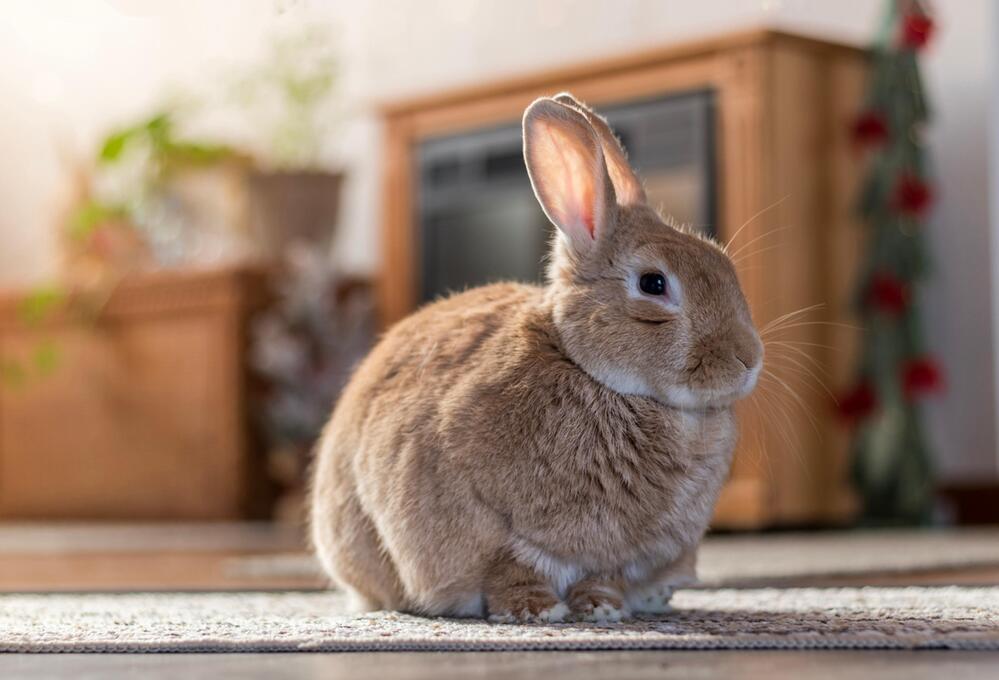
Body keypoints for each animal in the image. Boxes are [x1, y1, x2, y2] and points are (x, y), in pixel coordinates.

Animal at [310, 93, 762, 623]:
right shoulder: (495, 524)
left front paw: (602, 609)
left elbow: (601, 577)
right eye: (653, 284)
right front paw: (535, 612)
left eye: (721, 262)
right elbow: (514, 567)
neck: (594, 373)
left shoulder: (614, 555)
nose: (748, 359)